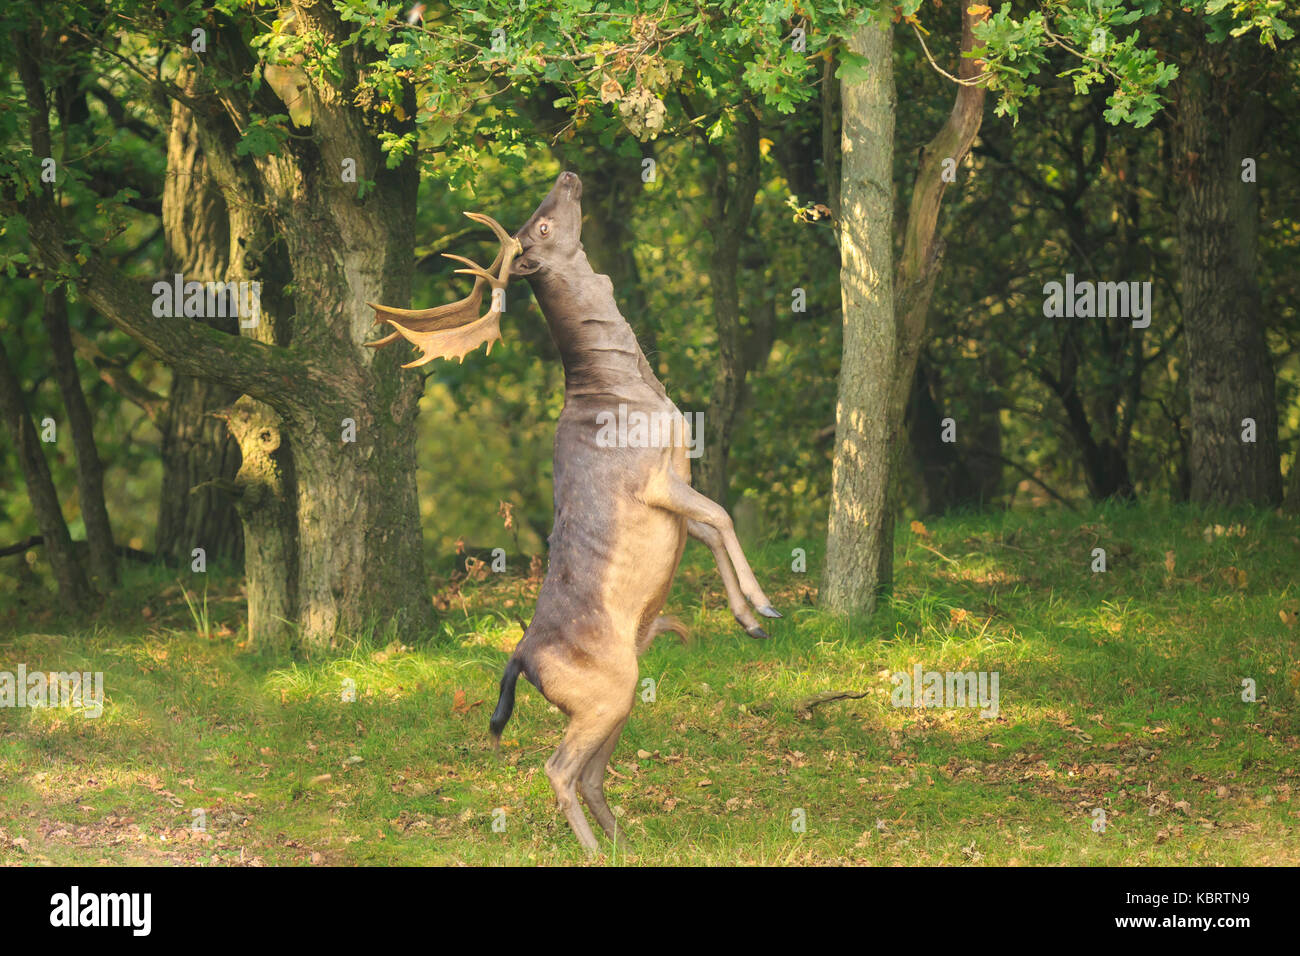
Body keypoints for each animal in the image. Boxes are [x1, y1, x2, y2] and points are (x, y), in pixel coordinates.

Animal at [366, 171, 779, 854]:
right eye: (540, 226)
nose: (566, 175)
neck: (629, 388)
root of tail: (521, 662)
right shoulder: (654, 478)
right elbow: (723, 516)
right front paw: (765, 608)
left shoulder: (675, 485)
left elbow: (711, 528)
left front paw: (749, 620)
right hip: (603, 689)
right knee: (558, 769)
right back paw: (593, 850)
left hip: (617, 693)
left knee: (588, 773)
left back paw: (624, 843)